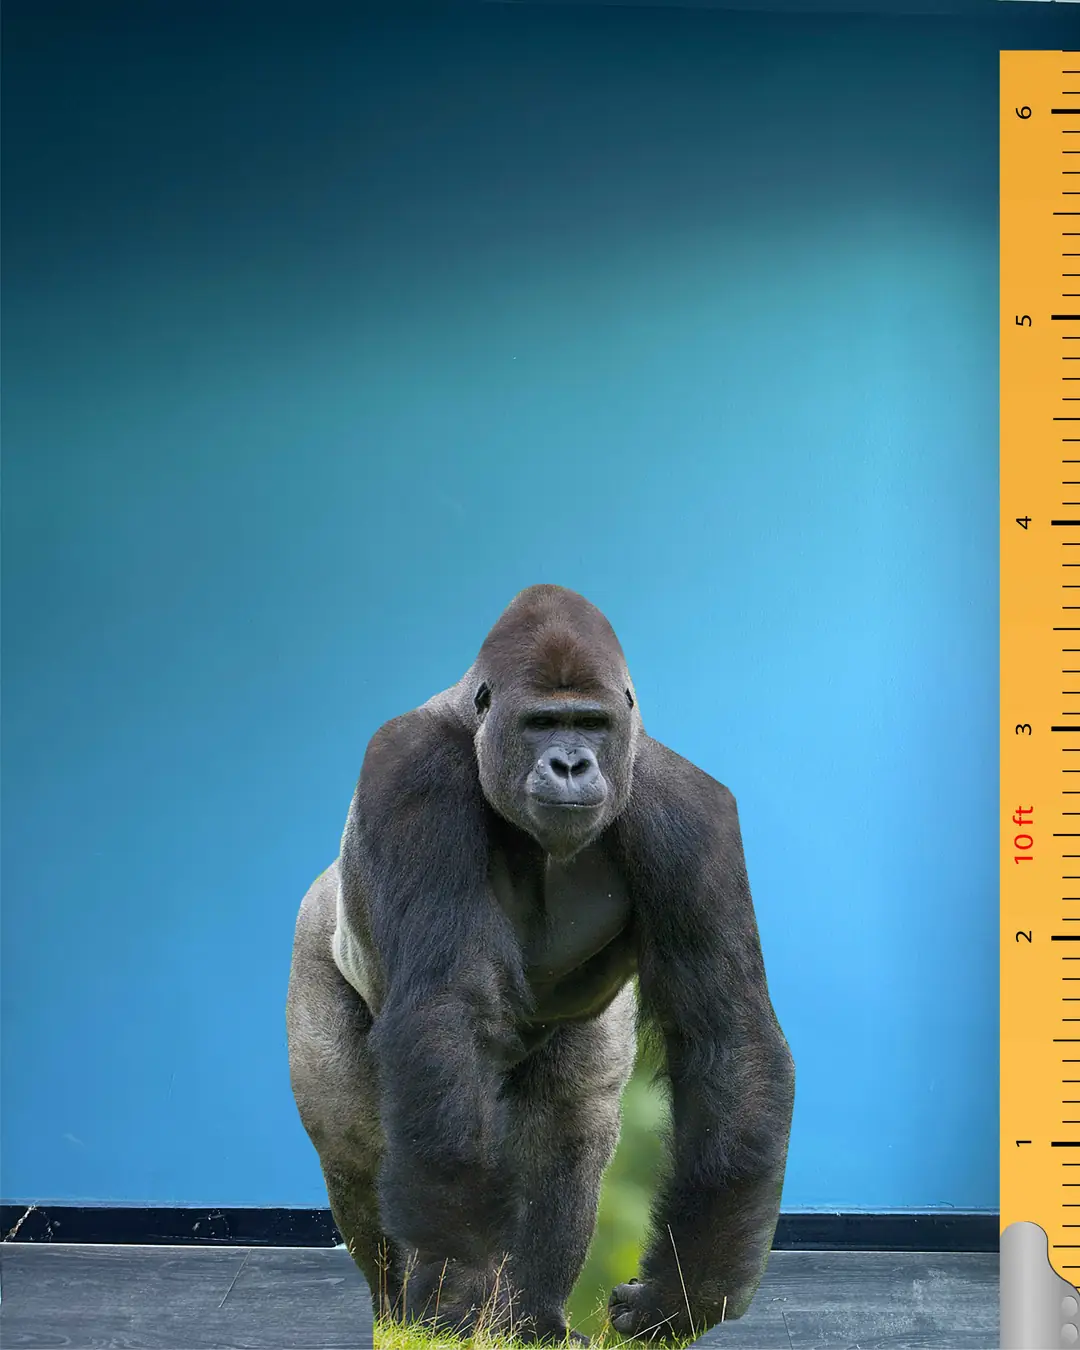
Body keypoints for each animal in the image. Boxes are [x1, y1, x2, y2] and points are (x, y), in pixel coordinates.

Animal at [286, 583, 794, 1343]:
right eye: (541, 724)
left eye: (590, 723)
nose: (571, 764)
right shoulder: (410, 771)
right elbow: (446, 1013)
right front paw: (458, 1287)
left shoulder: (687, 813)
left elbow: (728, 1039)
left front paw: (682, 1297)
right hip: (315, 948)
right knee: (354, 1141)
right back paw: (396, 1307)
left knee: (569, 1124)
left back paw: (531, 1318)